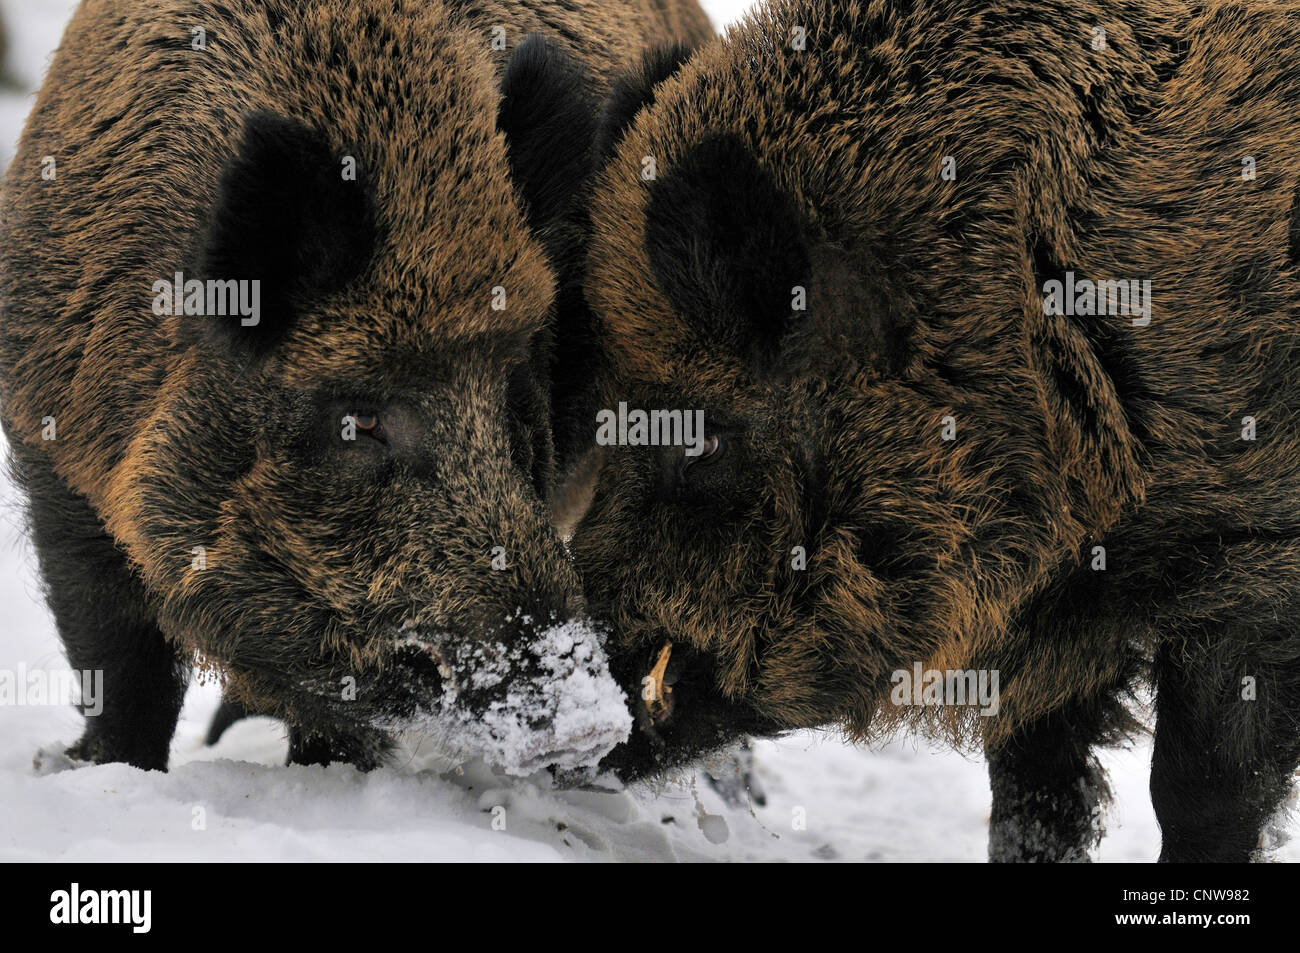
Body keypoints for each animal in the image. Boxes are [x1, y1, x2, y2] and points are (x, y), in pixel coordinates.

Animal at [0, 0, 712, 775]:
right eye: (362, 417)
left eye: (513, 397)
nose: (588, 725)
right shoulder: (55, 459)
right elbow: (120, 663)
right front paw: (101, 769)